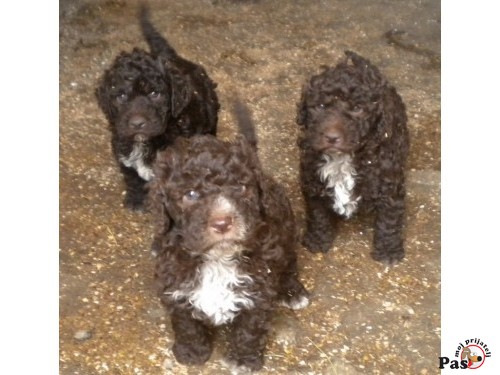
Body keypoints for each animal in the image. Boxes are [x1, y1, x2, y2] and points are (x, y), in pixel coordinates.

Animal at [94, 5, 218, 212]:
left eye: (155, 94)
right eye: (121, 96)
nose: (137, 123)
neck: (144, 142)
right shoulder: (124, 152)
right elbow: (133, 178)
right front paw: (136, 201)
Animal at [149, 102, 308, 374]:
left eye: (242, 188)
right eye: (190, 194)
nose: (222, 223)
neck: (217, 259)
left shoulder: (258, 287)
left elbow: (249, 328)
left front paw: (242, 361)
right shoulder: (174, 283)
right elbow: (185, 324)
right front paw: (191, 352)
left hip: (286, 234)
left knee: (289, 263)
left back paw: (292, 291)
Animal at [296, 50, 410, 268]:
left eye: (358, 108)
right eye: (320, 106)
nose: (332, 137)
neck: (342, 159)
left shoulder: (390, 184)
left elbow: (389, 219)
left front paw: (388, 251)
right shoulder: (312, 180)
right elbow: (317, 214)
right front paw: (318, 240)